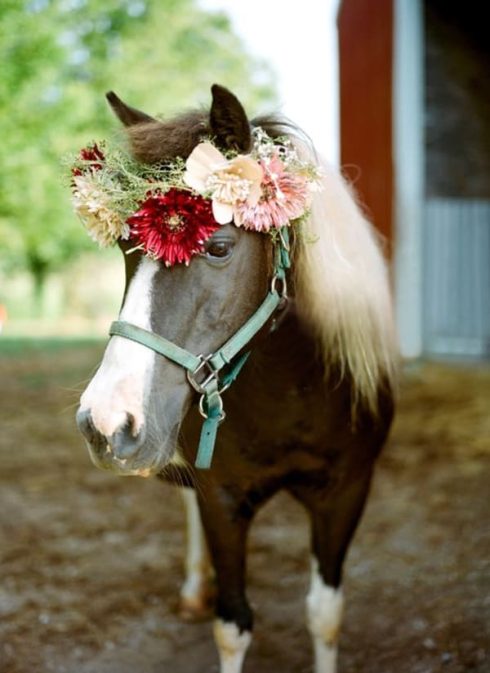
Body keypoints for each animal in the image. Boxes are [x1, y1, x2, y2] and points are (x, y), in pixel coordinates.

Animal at [75, 84, 397, 673]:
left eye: (218, 247)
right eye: (126, 249)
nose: (105, 423)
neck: (296, 393)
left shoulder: (346, 492)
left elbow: (325, 615)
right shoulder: (221, 500)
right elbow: (232, 625)